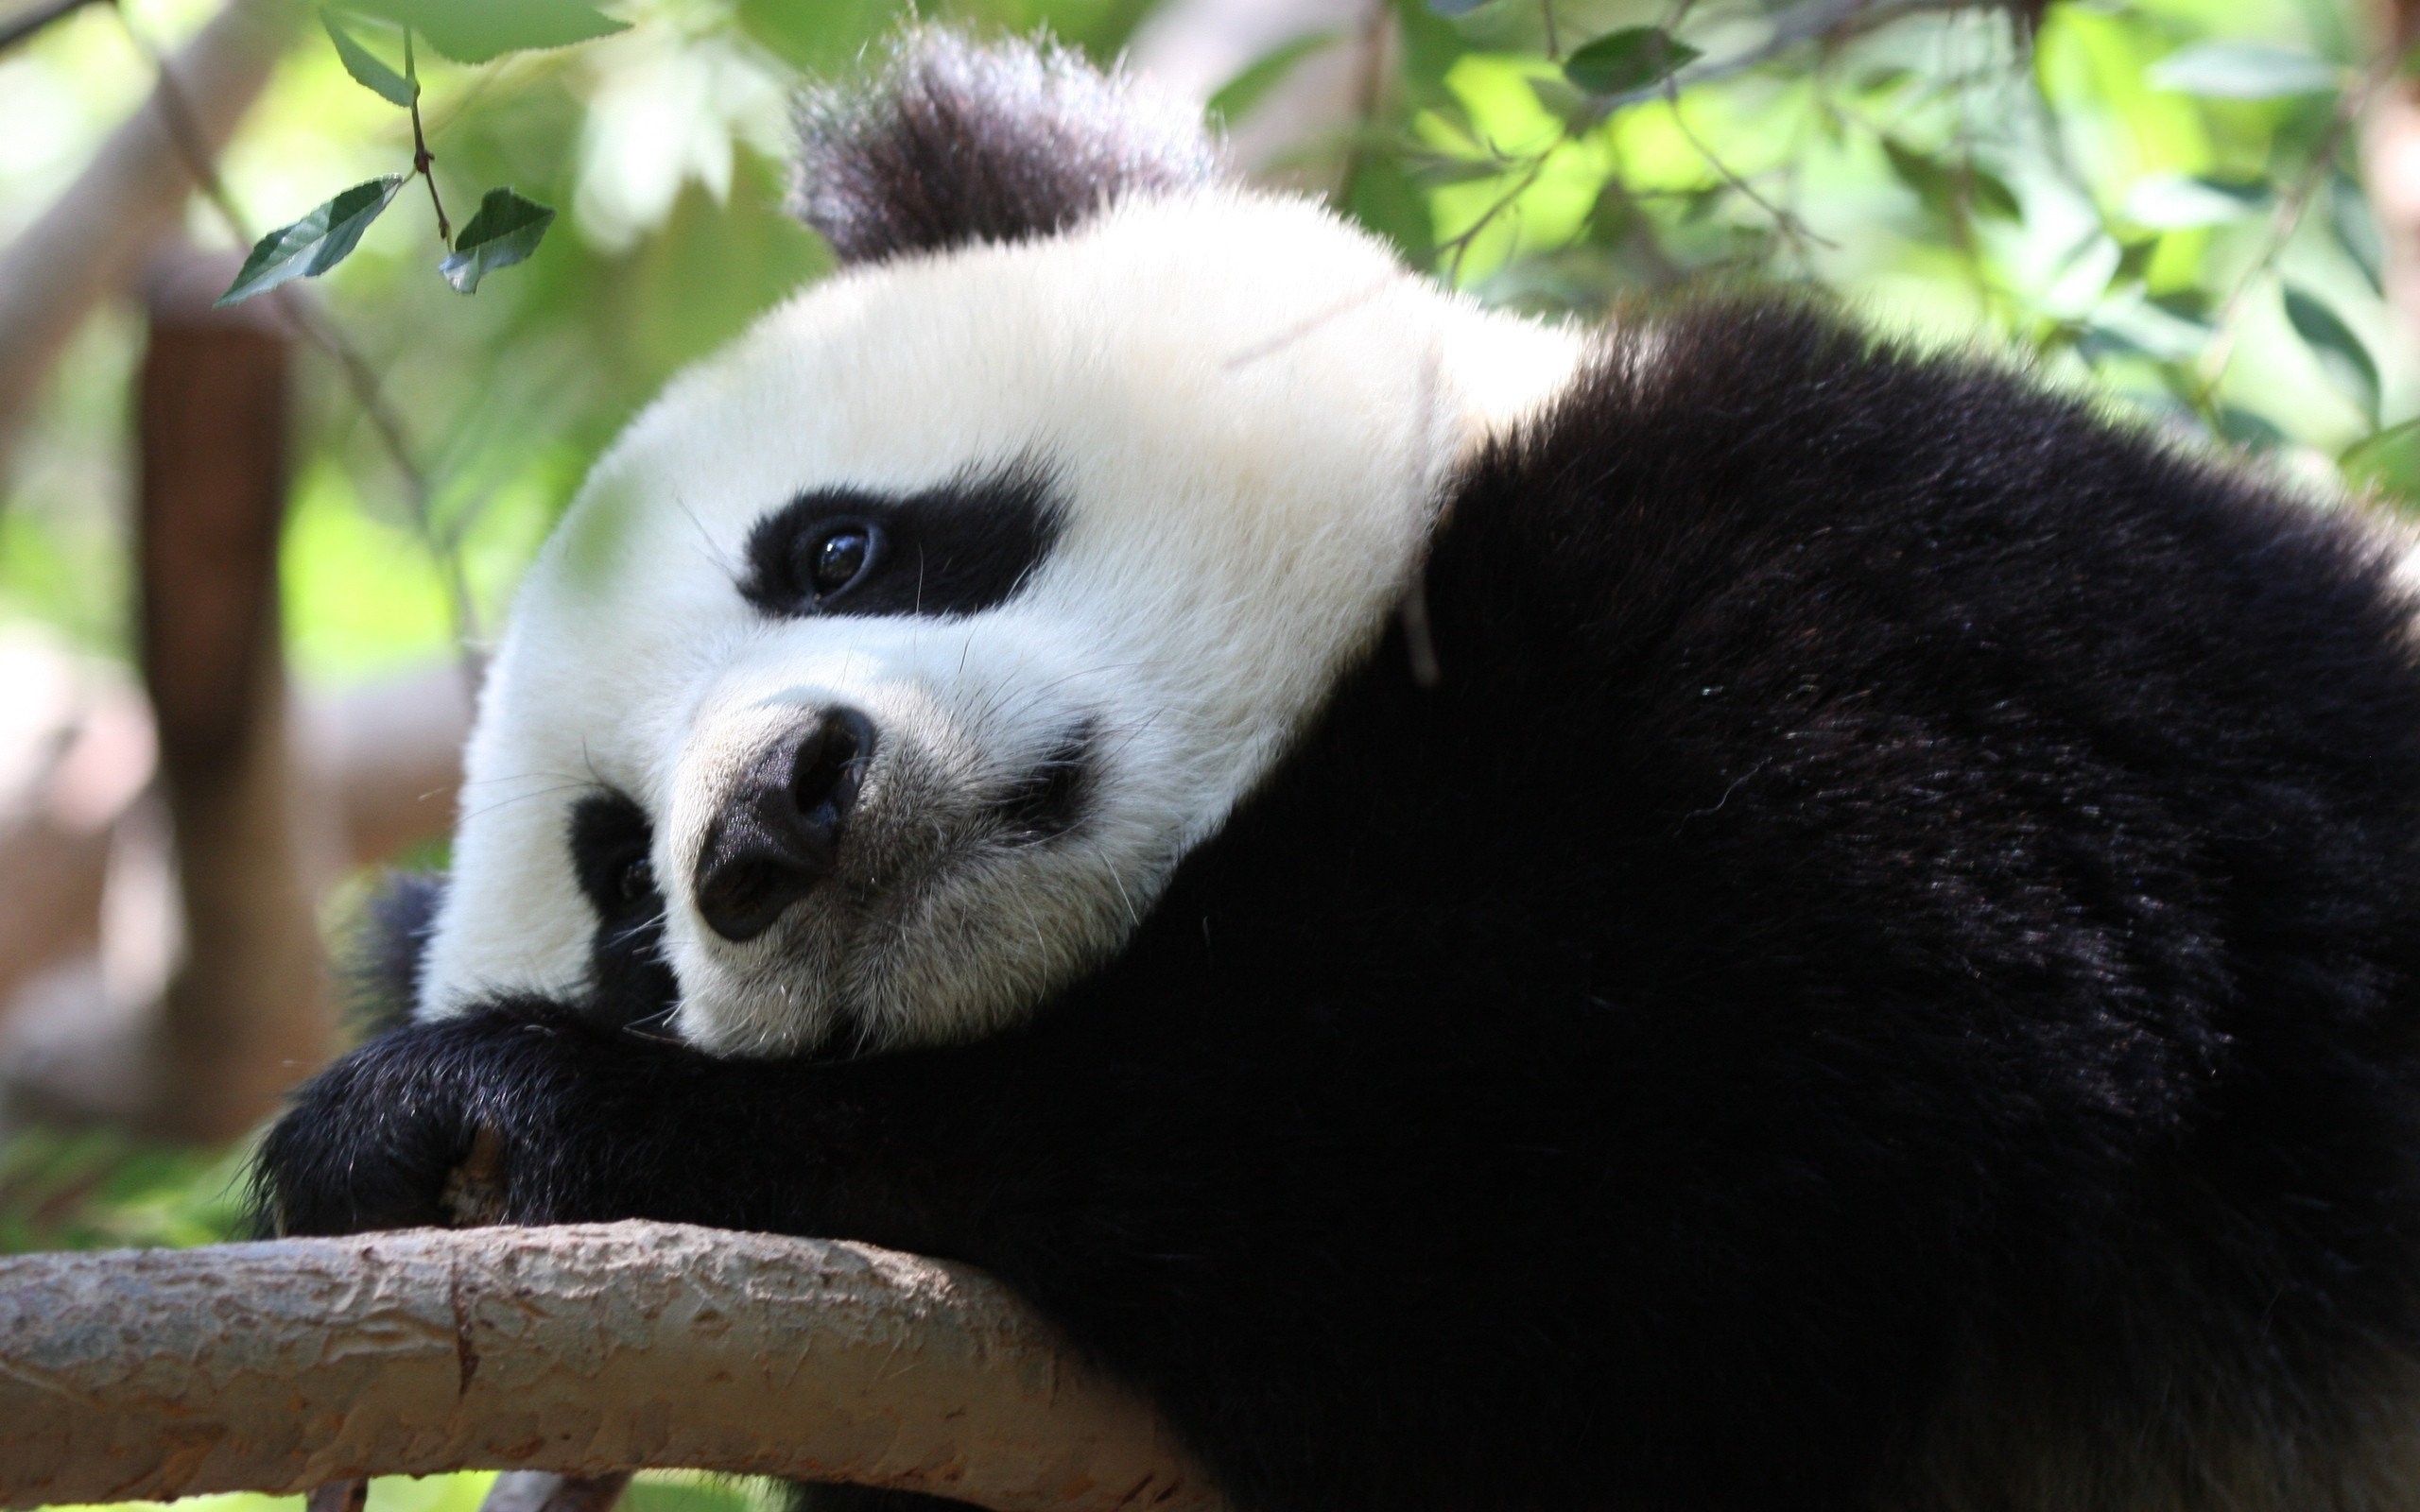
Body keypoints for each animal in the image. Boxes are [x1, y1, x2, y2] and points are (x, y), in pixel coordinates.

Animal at [257, 28, 2420, 1512]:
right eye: (626, 894)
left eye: (839, 549)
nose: (776, 814)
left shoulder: (1899, 596)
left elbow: (1621, 1140)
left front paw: (493, 1114)